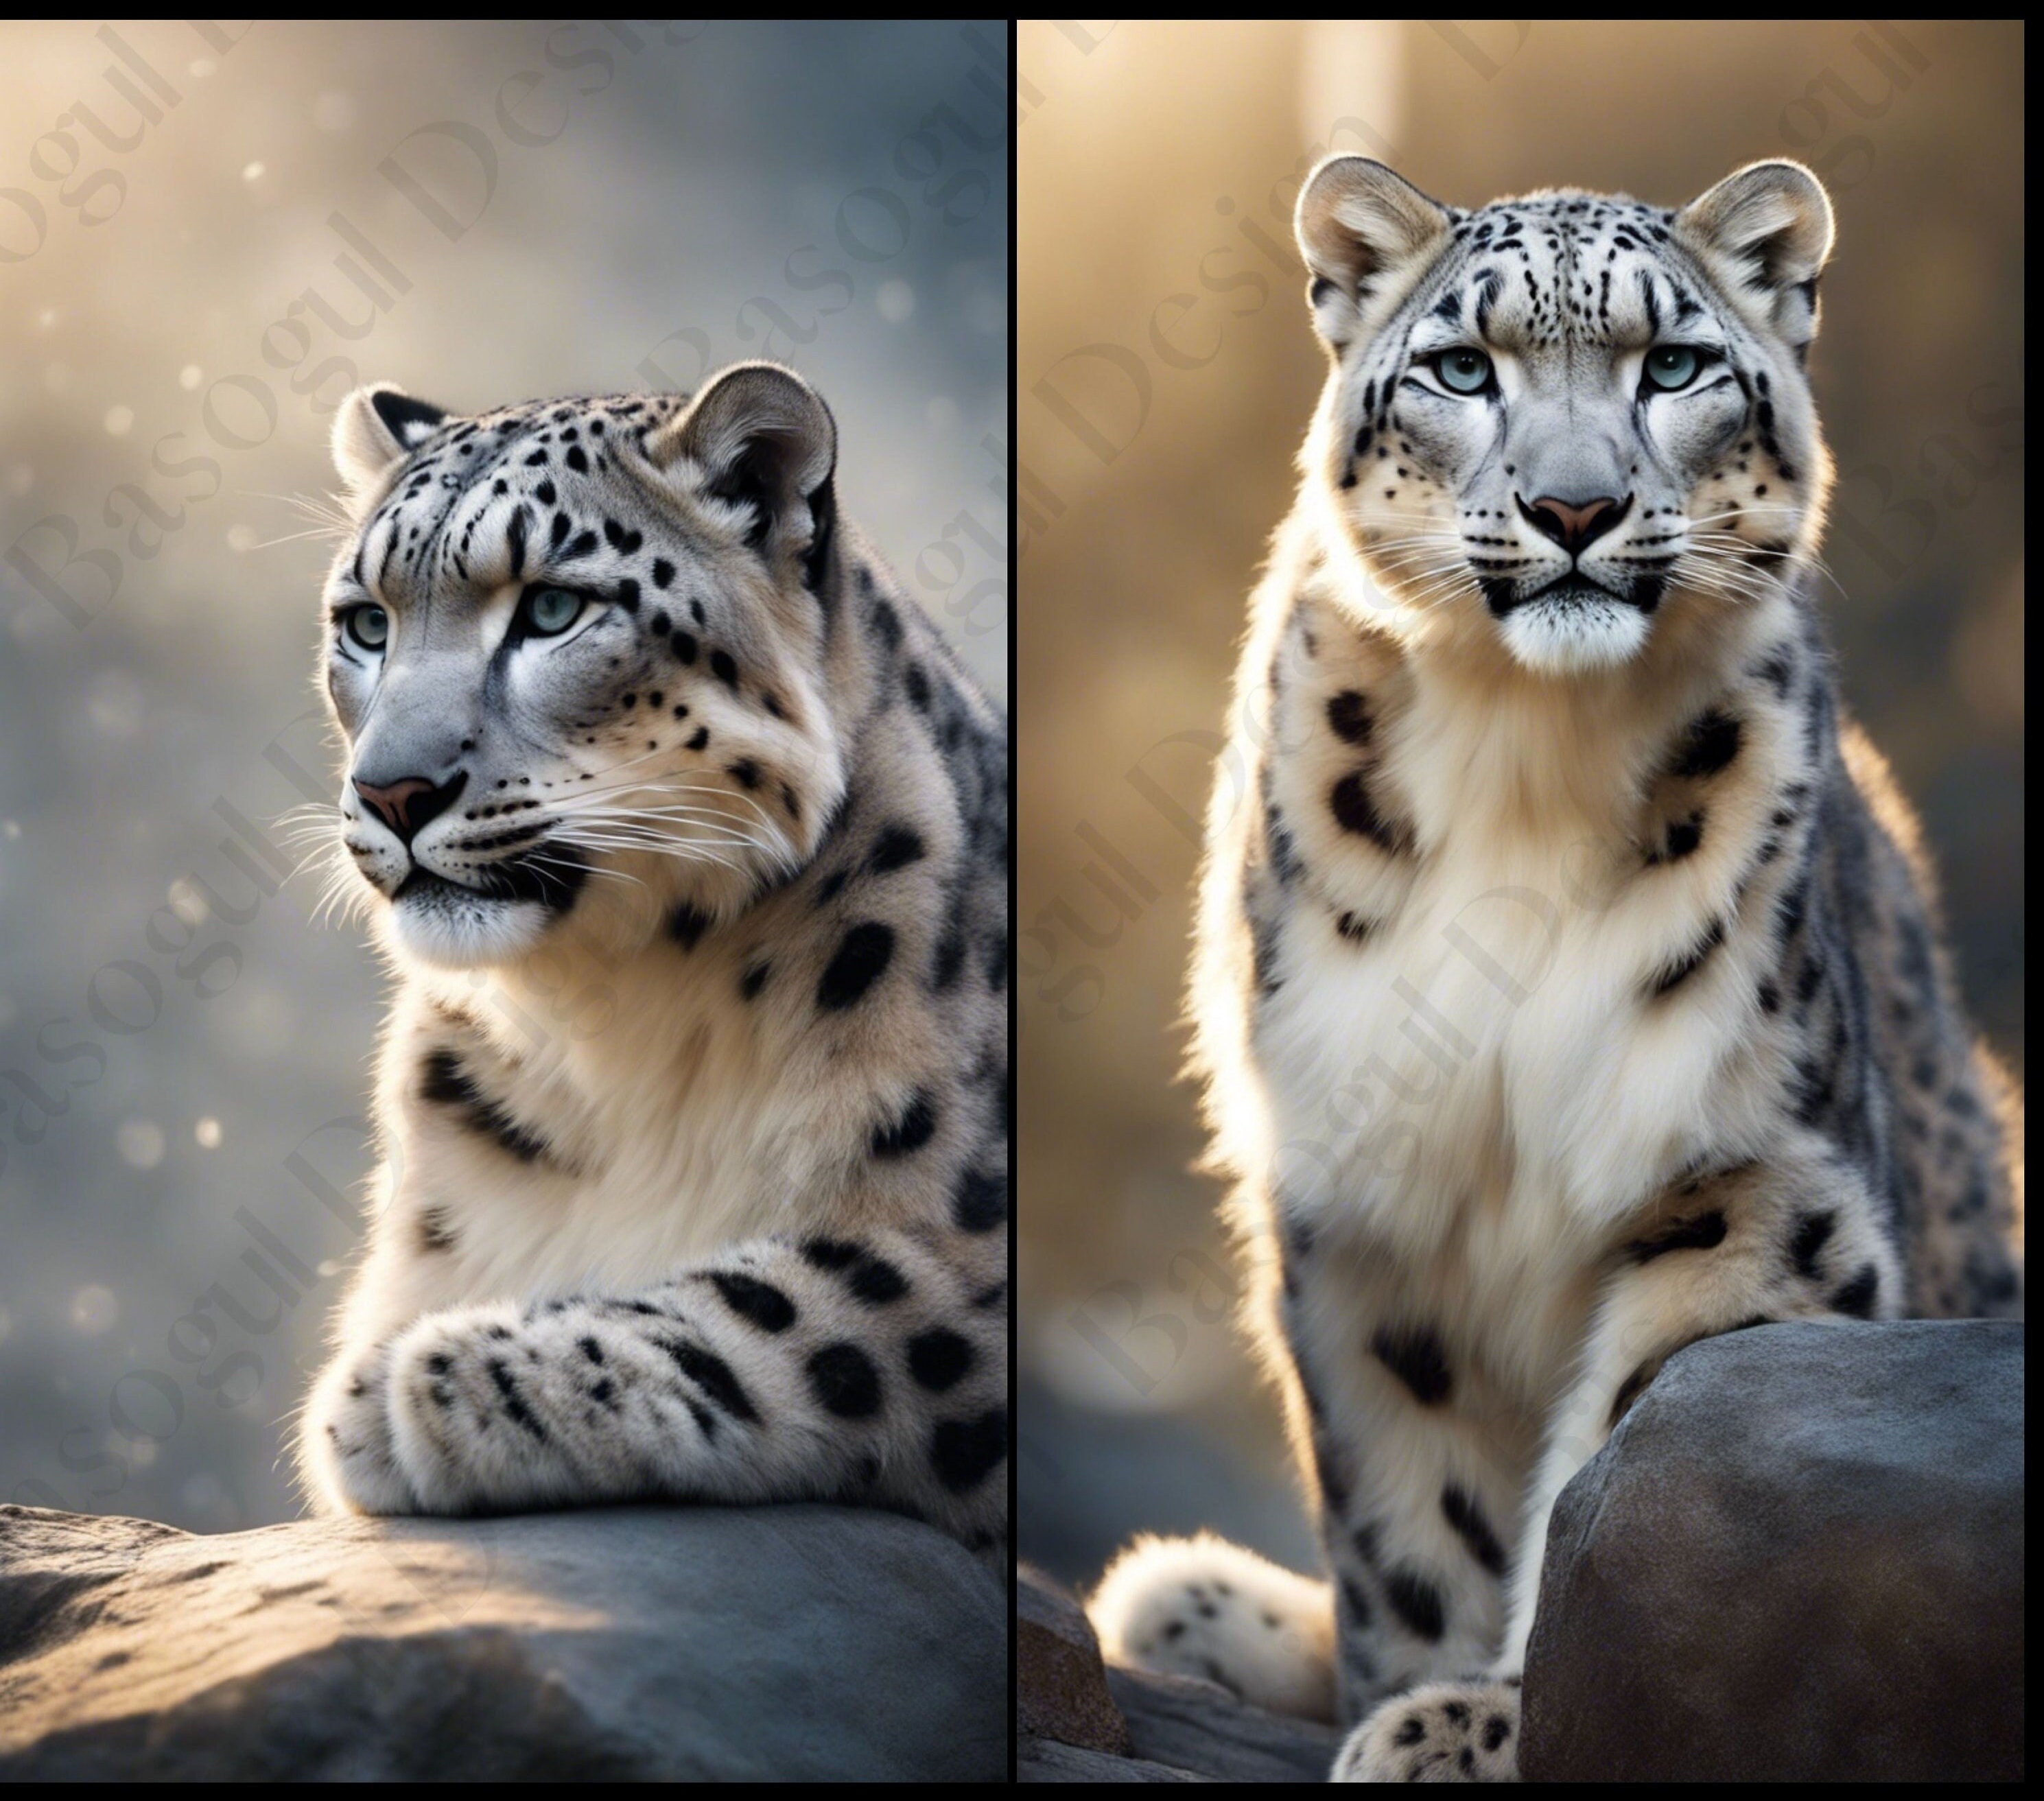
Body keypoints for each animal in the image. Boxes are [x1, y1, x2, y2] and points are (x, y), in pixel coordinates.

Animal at [293, 361, 1009, 1563]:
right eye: (366, 623)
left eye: (551, 607)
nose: (391, 790)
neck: (615, 1028)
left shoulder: (958, 1253)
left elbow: (803, 1298)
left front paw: (419, 1382)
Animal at [1085, 158, 2021, 1780]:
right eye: (1464, 367)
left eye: (1675, 364)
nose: (1570, 507)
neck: (1528, 759)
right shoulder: (1368, 1186)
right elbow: (1416, 1517)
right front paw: (1424, 1696)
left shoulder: (1751, 1169)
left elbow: (1628, 1453)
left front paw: (1484, 1717)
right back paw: (1189, 1601)